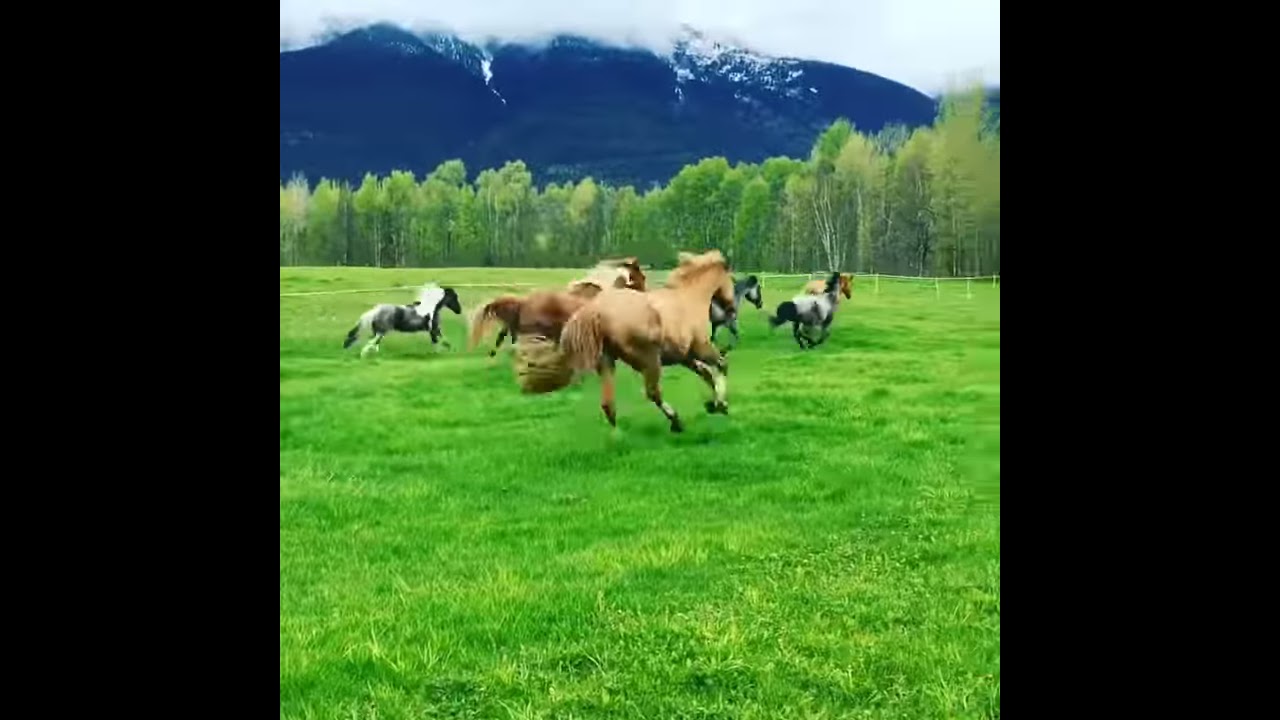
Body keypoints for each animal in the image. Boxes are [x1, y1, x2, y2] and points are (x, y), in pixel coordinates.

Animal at [557, 249, 737, 433]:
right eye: (731, 280)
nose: (731, 309)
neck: (689, 298)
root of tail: (597, 312)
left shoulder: (684, 357)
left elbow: (707, 373)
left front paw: (716, 405)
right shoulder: (701, 348)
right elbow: (722, 365)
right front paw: (720, 404)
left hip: (606, 361)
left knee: (608, 404)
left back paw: (618, 435)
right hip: (649, 360)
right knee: (652, 392)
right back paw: (676, 422)